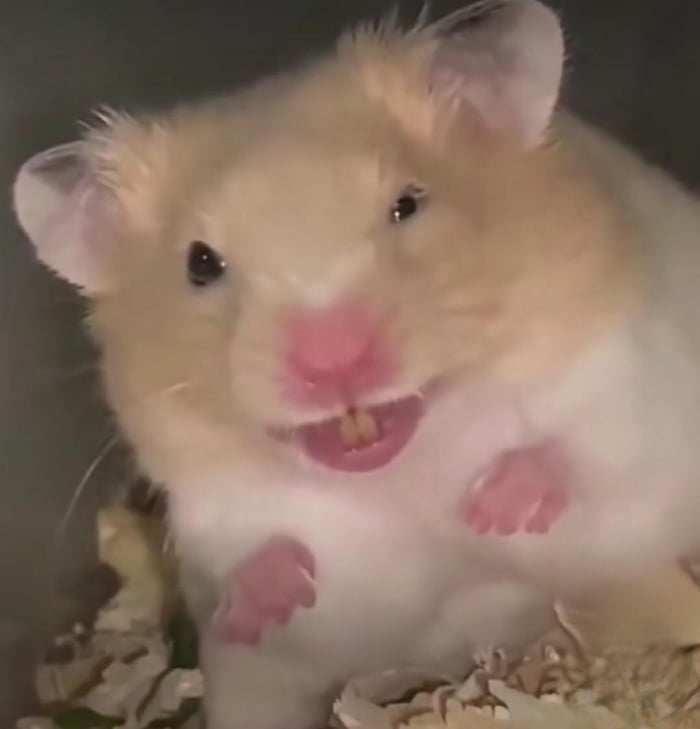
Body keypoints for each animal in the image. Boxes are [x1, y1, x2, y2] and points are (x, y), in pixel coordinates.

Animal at [13, 0, 700, 727]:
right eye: (200, 263)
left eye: (410, 202)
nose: (334, 361)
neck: (407, 469)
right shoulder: (216, 507)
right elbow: (246, 549)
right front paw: (274, 594)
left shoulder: (631, 380)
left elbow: (591, 444)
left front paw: (494, 507)